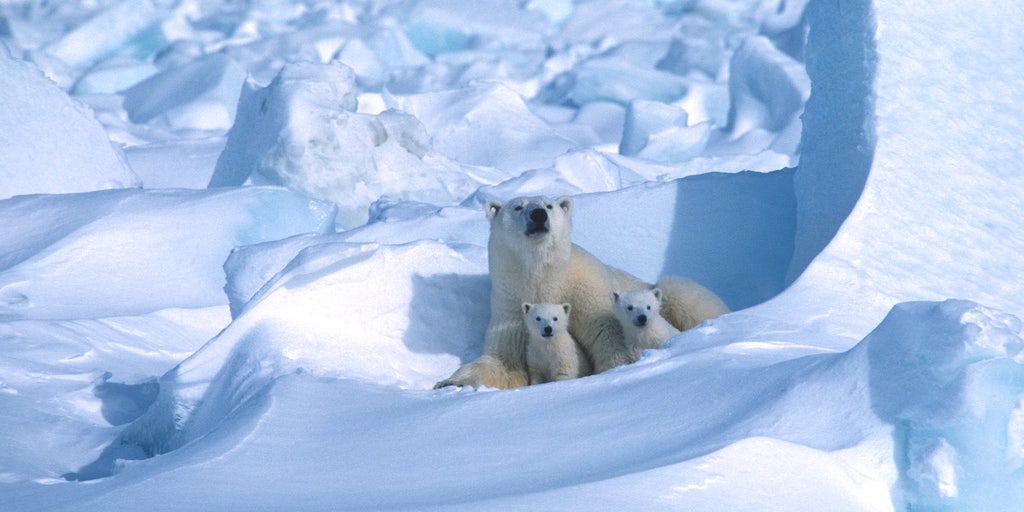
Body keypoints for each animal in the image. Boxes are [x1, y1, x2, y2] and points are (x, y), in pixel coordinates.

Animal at [434, 195, 729, 389]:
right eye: (518, 206)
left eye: (549, 205)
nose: (538, 215)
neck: (544, 280)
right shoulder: (511, 308)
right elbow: (504, 362)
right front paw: (449, 382)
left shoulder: (587, 293)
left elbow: (608, 335)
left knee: (678, 290)